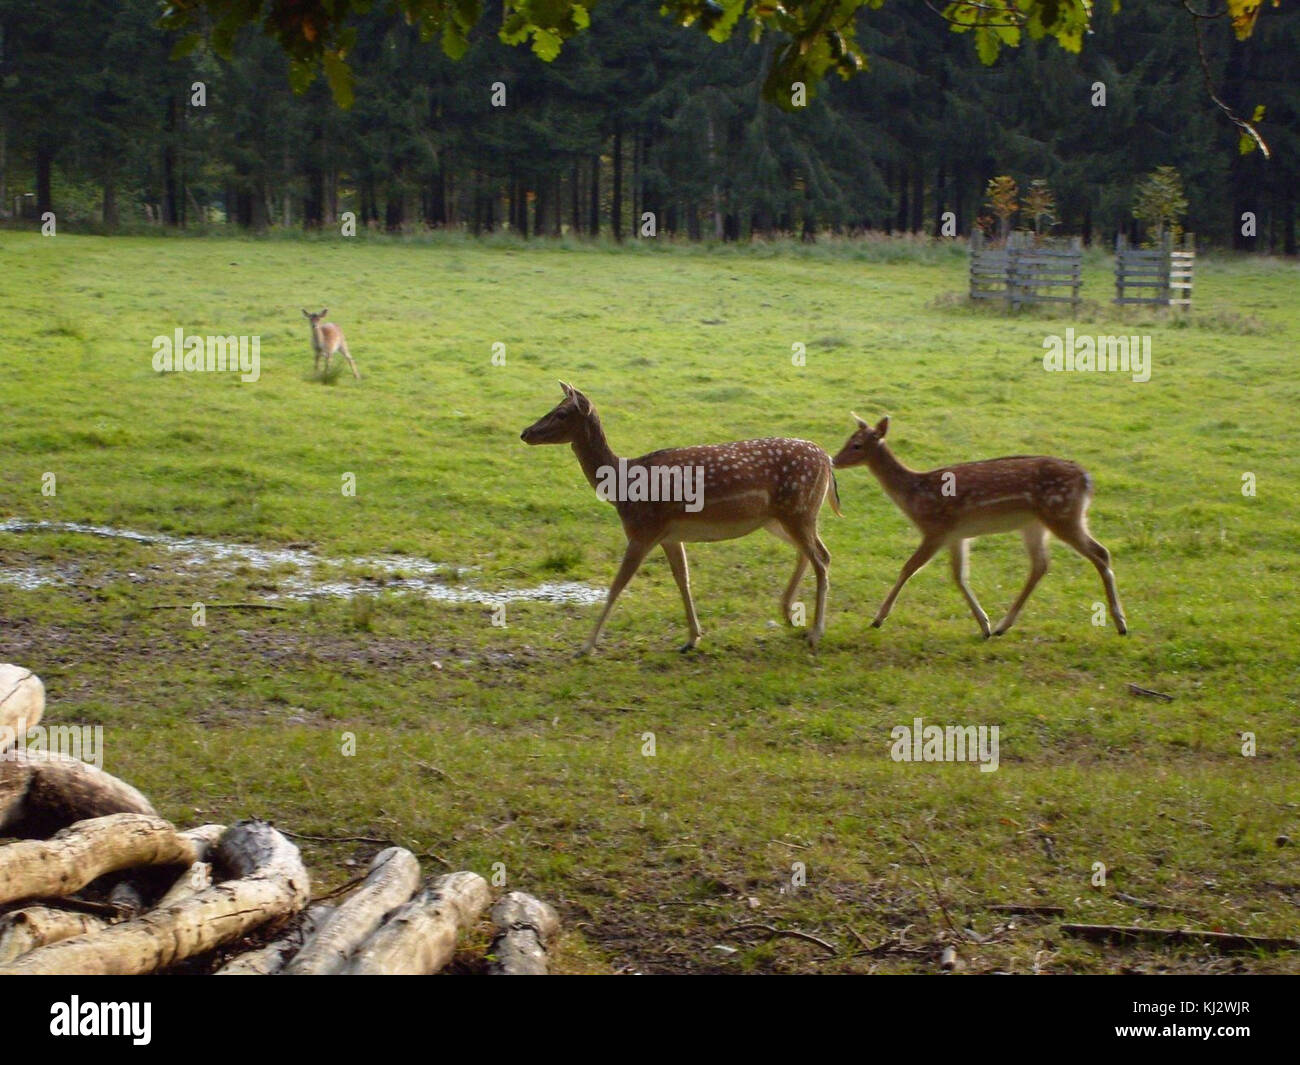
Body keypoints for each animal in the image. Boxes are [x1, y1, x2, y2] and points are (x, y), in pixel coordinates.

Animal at [521, 382, 841, 655]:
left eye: (561, 412)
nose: (526, 432)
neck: (621, 487)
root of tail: (827, 460)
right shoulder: (670, 536)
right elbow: (682, 579)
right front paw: (692, 638)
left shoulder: (642, 530)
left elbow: (616, 586)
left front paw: (586, 646)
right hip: (780, 518)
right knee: (813, 553)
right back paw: (788, 614)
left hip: (798, 510)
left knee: (821, 559)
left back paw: (815, 632)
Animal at [831, 413, 1127, 637]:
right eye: (849, 439)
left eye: (857, 444)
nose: (834, 460)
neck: (915, 496)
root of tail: (1086, 479)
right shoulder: (956, 535)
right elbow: (959, 576)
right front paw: (983, 624)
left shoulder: (936, 529)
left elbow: (908, 568)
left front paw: (878, 618)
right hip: (1036, 523)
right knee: (1041, 565)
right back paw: (1002, 626)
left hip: (1063, 514)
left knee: (1100, 553)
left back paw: (1120, 622)